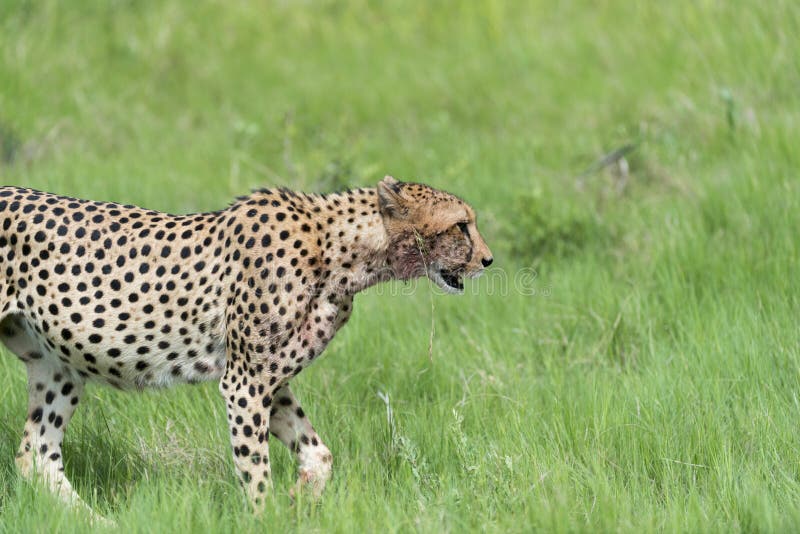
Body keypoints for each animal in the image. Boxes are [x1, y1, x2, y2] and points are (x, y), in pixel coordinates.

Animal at [0, 176, 493, 513]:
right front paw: (267, 514)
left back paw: (103, 522)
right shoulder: (244, 383)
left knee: (35, 455)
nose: (488, 260)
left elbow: (320, 455)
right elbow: (255, 473)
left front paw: (297, 502)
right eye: (461, 225)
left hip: (58, 366)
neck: (344, 253)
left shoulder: (269, 381)